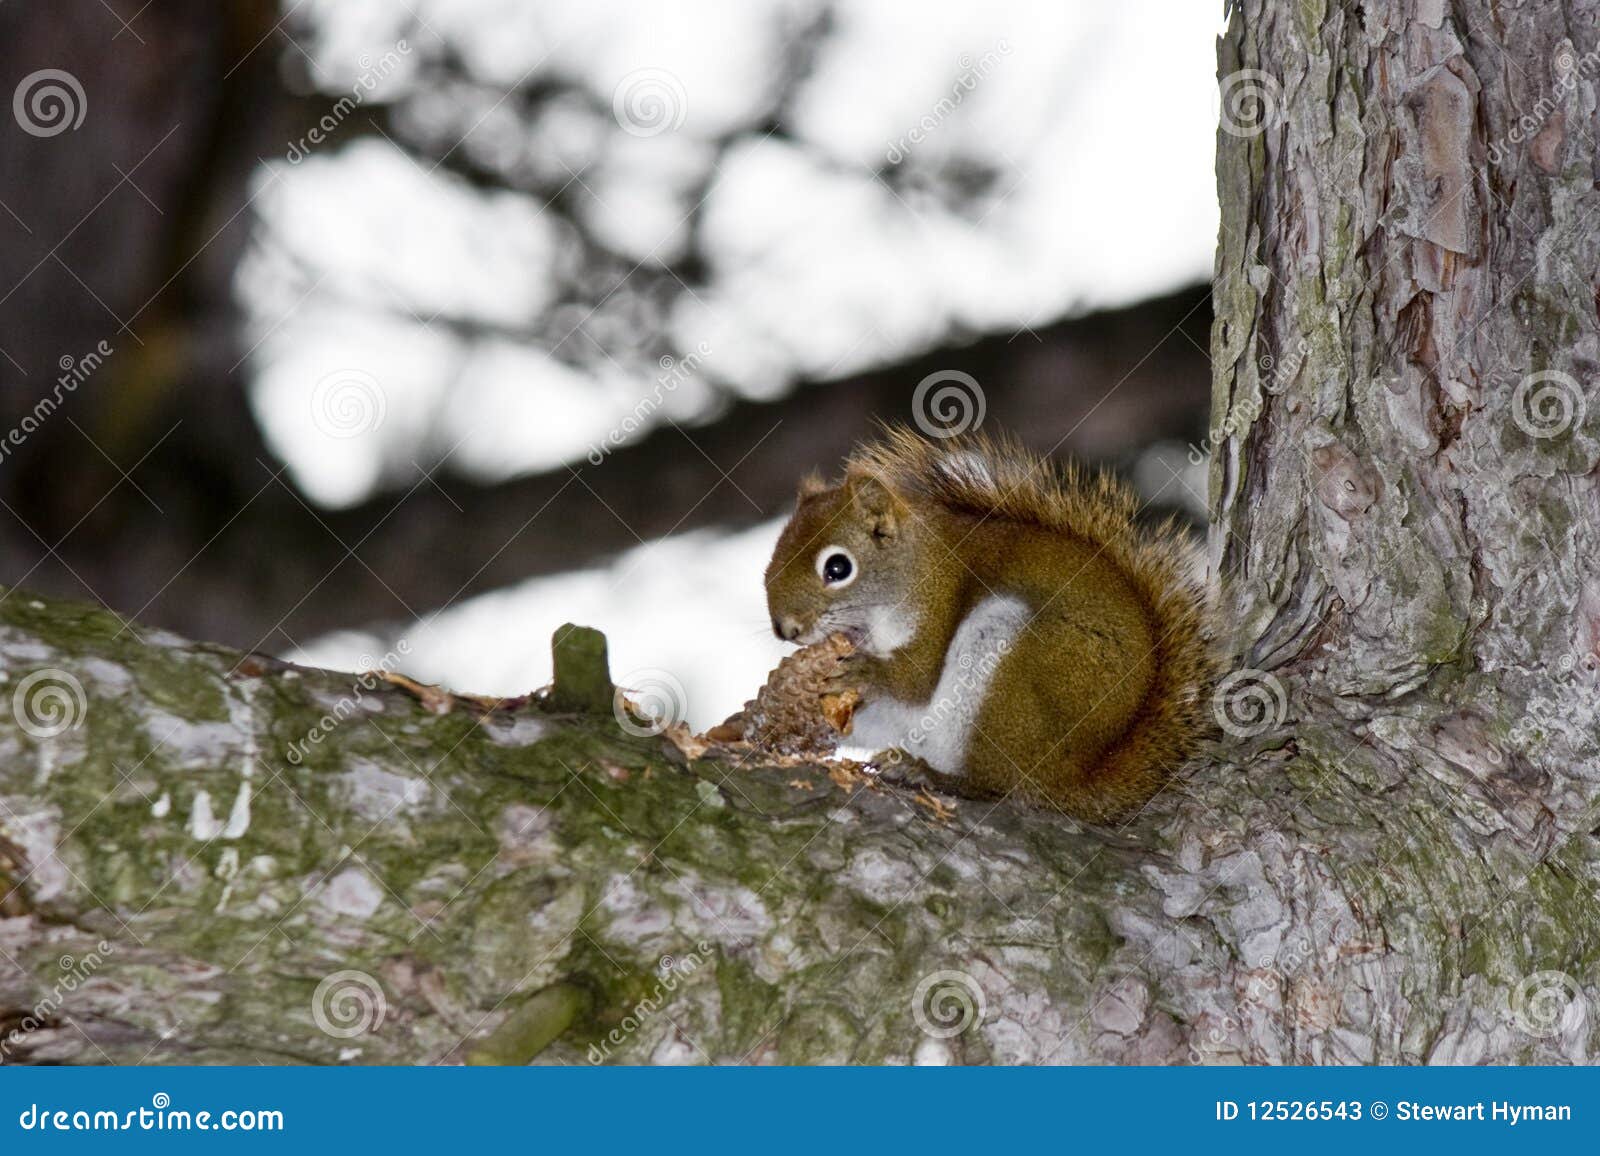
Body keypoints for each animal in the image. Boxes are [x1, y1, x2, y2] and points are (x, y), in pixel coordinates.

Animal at [763, 425, 1210, 823]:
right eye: (773, 556)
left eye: (838, 568)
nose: (786, 629)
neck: (913, 567)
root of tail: (1074, 779)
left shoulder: (938, 605)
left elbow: (916, 680)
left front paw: (867, 672)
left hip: (1012, 673)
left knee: (1000, 783)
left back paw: (933, 775)